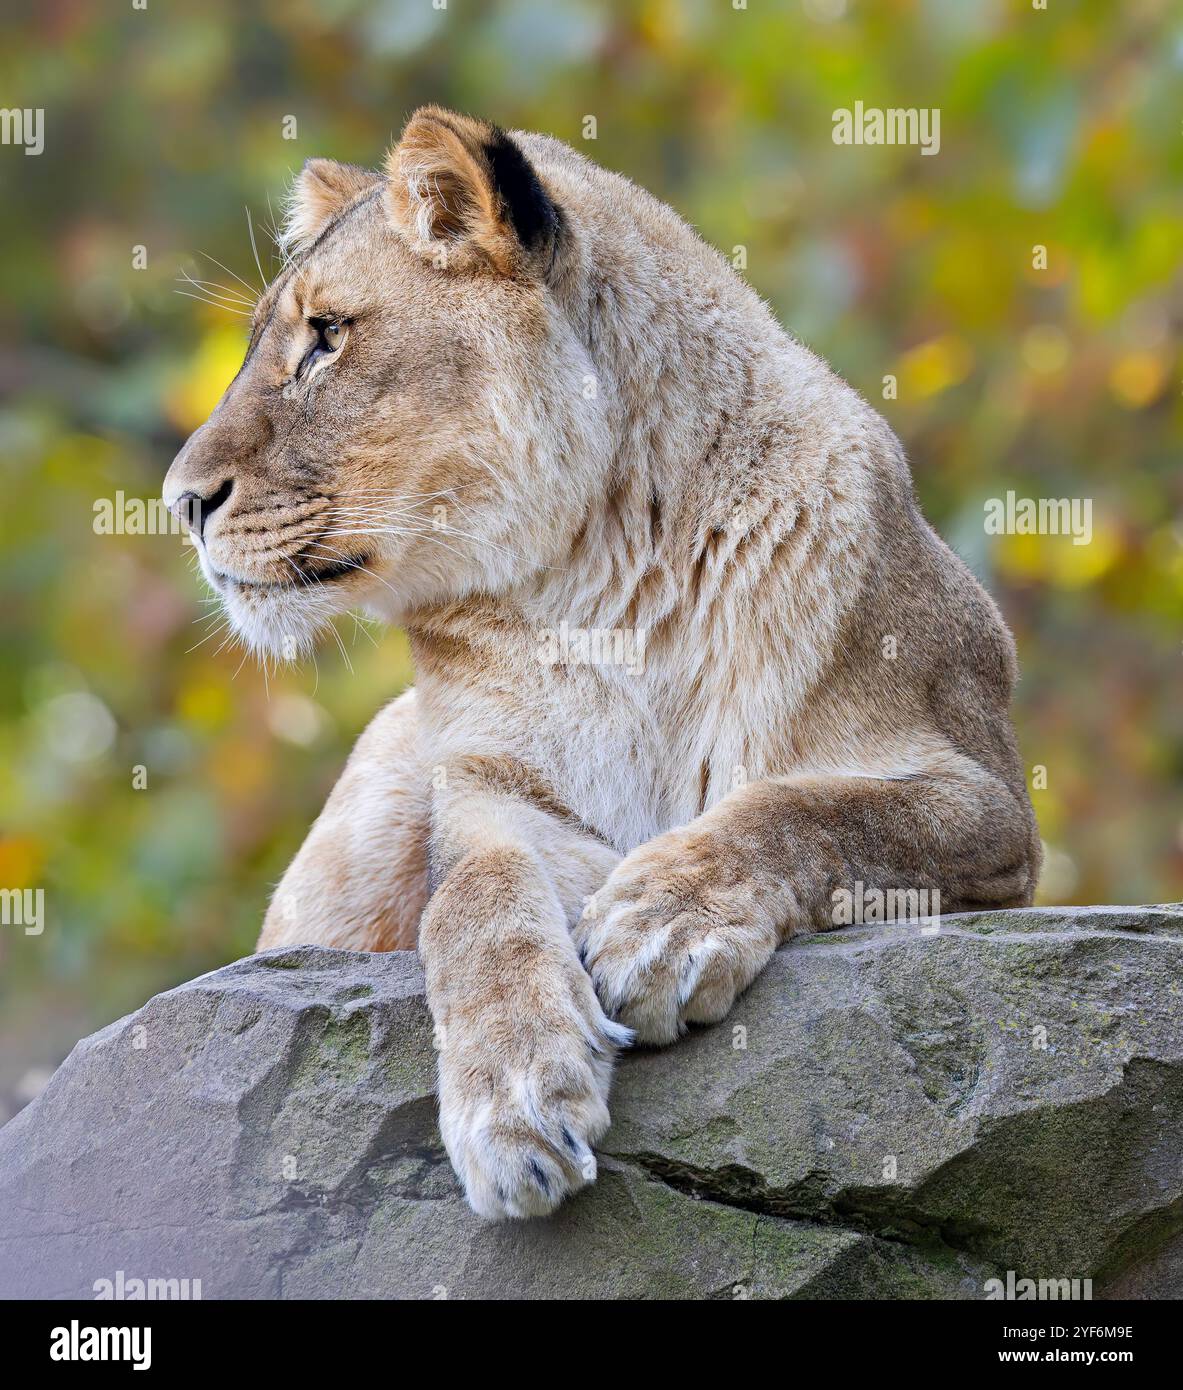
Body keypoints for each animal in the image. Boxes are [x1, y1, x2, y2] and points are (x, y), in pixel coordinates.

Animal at [163, 106, 1040, 1220]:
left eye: (327, 335)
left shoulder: (983, 797)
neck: (601, 590)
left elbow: (808, 810)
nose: (179, 502)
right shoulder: (498, 792)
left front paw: (662, 925)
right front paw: (514, 1105)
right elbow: (473, 898)